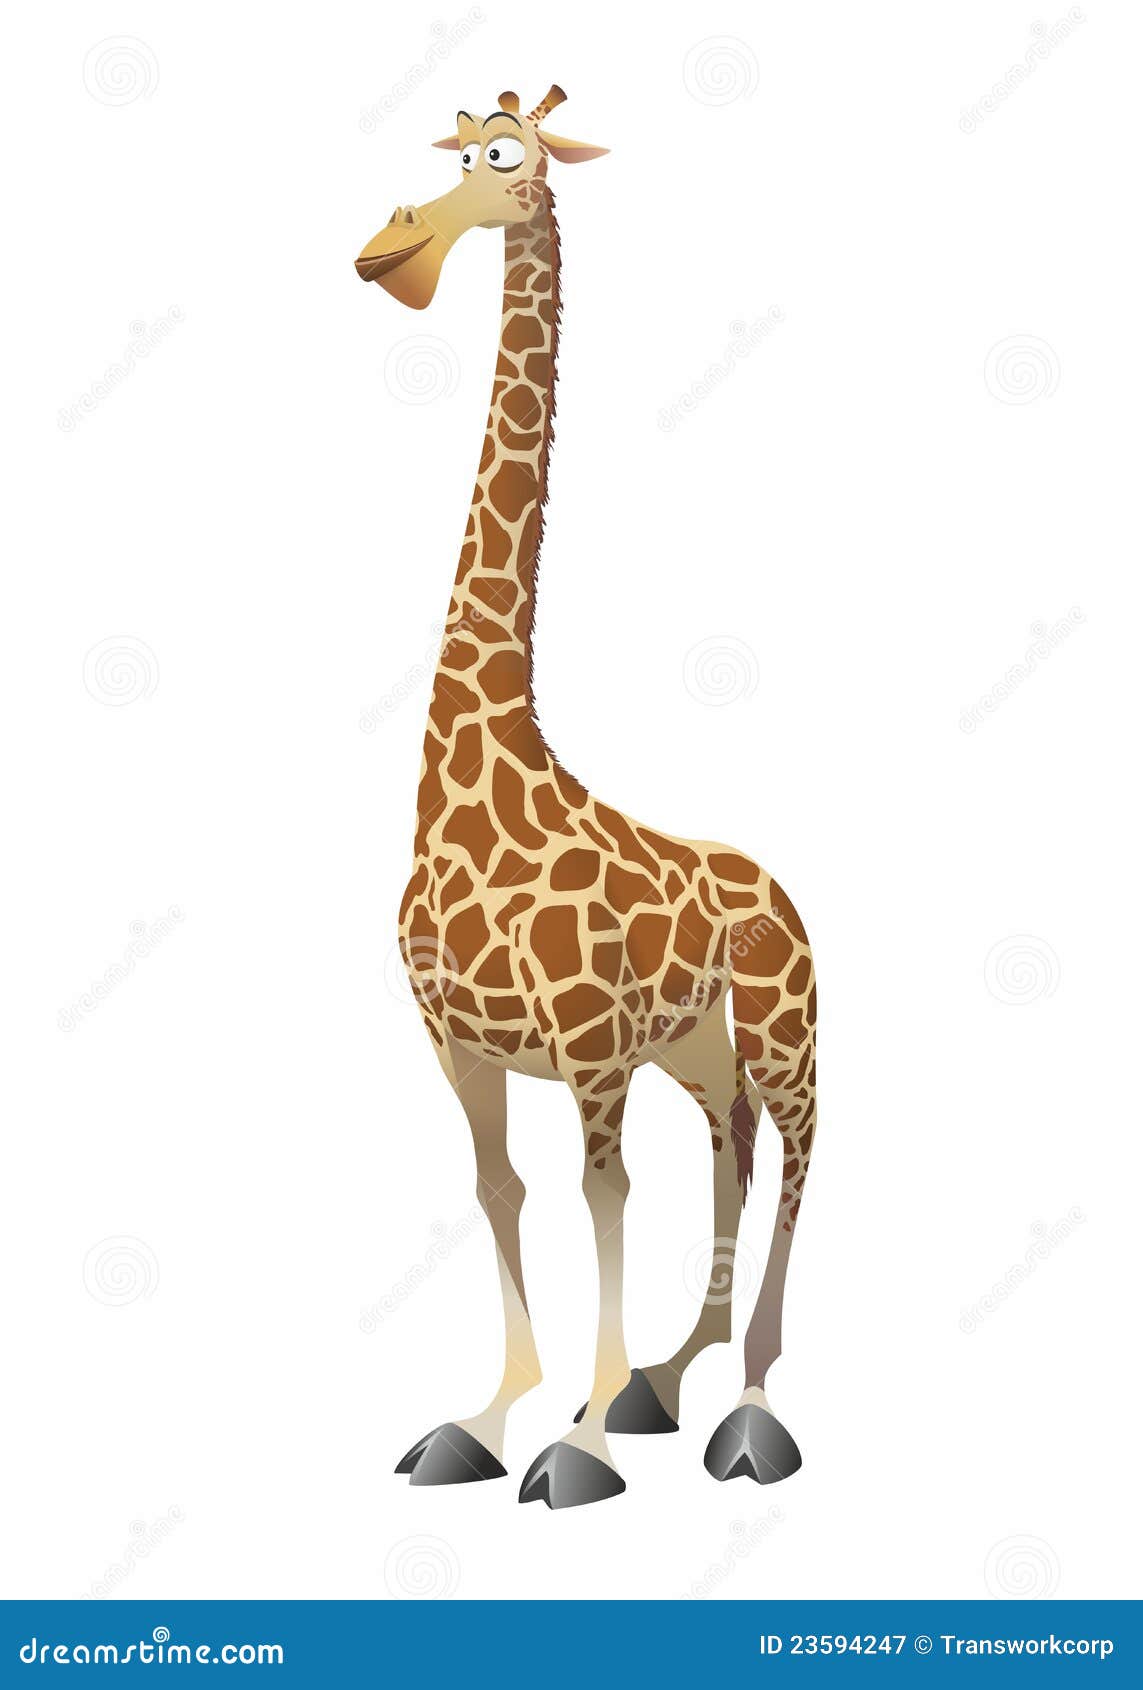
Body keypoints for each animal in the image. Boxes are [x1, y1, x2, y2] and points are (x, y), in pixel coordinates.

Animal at [356, 85, 817, 1509]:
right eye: (450, 153)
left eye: (503, 156)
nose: (388, 246)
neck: (475, 780)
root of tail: (784, 890)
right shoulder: (458, 1041)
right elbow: (500, 1189)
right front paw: (492, 1415)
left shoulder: (588, 1045)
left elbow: (600, 1196)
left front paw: (583, 1441)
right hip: (699, 1043)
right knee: (731, 1143)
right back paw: (674, 1372)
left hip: (786, 1030)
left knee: (794, 1156)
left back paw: (749, 1409)